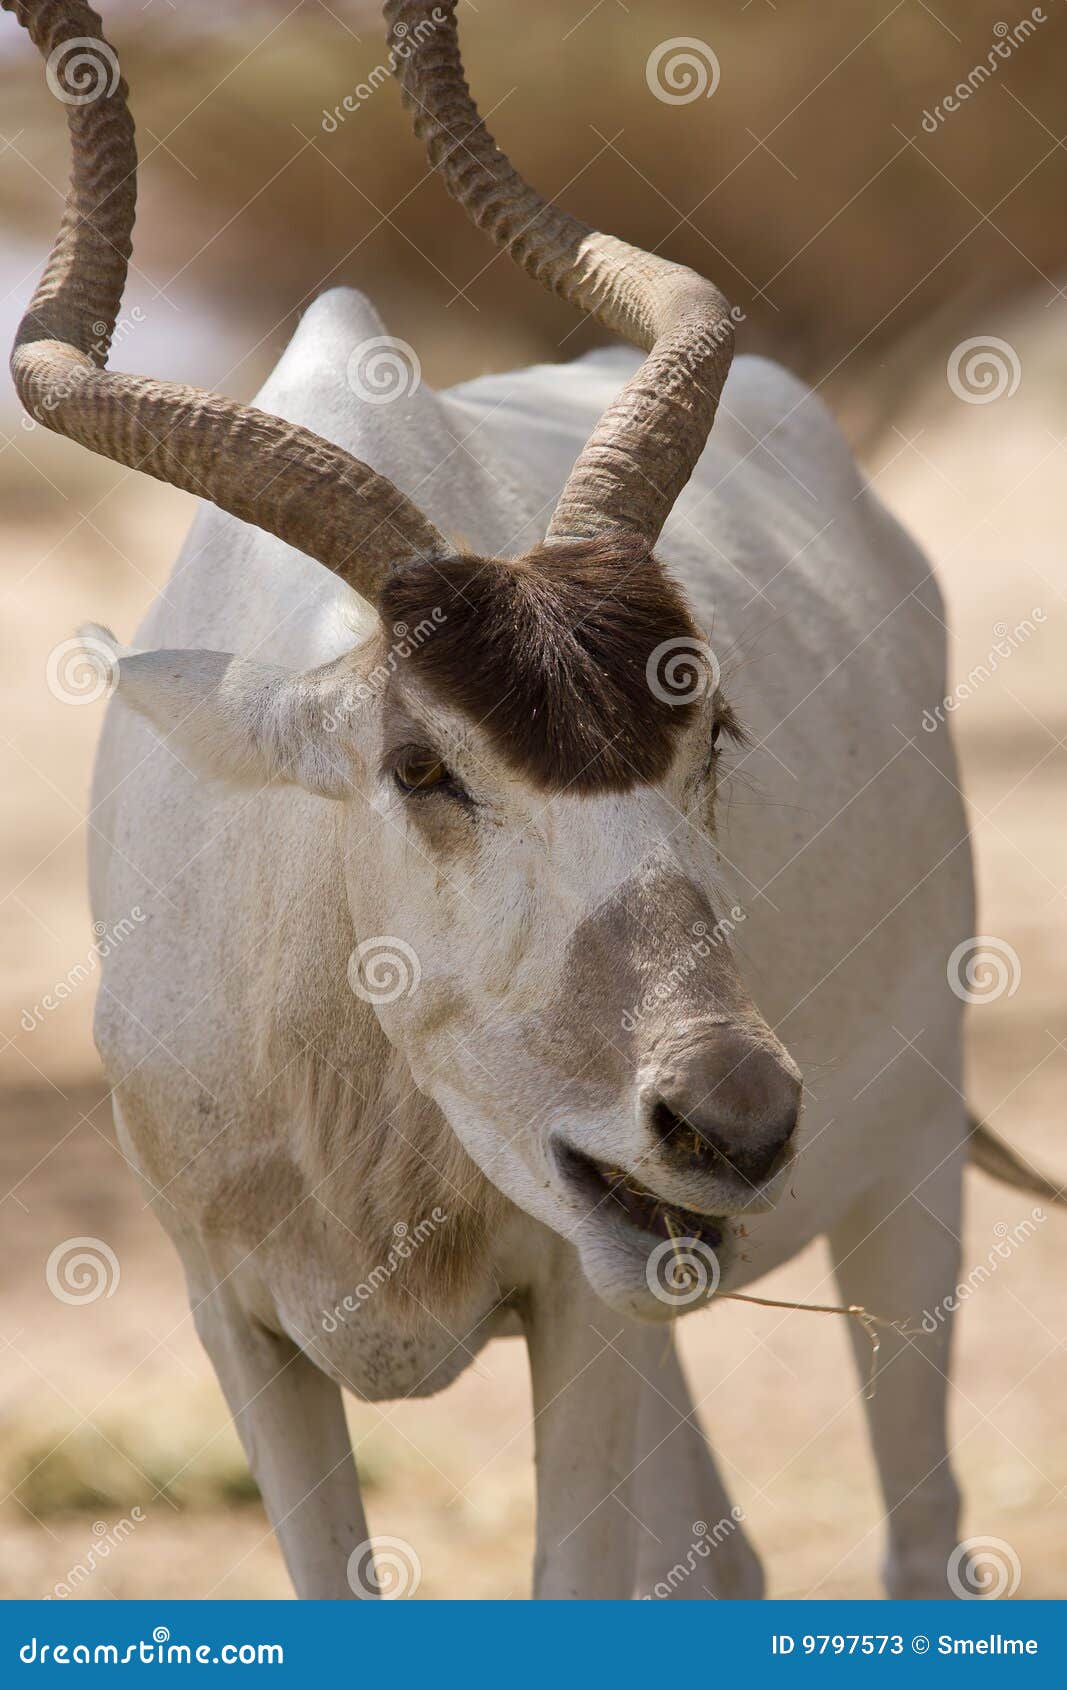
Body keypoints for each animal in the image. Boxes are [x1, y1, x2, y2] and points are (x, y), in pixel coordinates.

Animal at [7, 0, 1061, 1600]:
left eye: (707, 723)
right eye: (421, 764)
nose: (731, 1119)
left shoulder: (577, 1298)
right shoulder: (236, 1324)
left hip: (901, 1176)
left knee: (916, 1532)